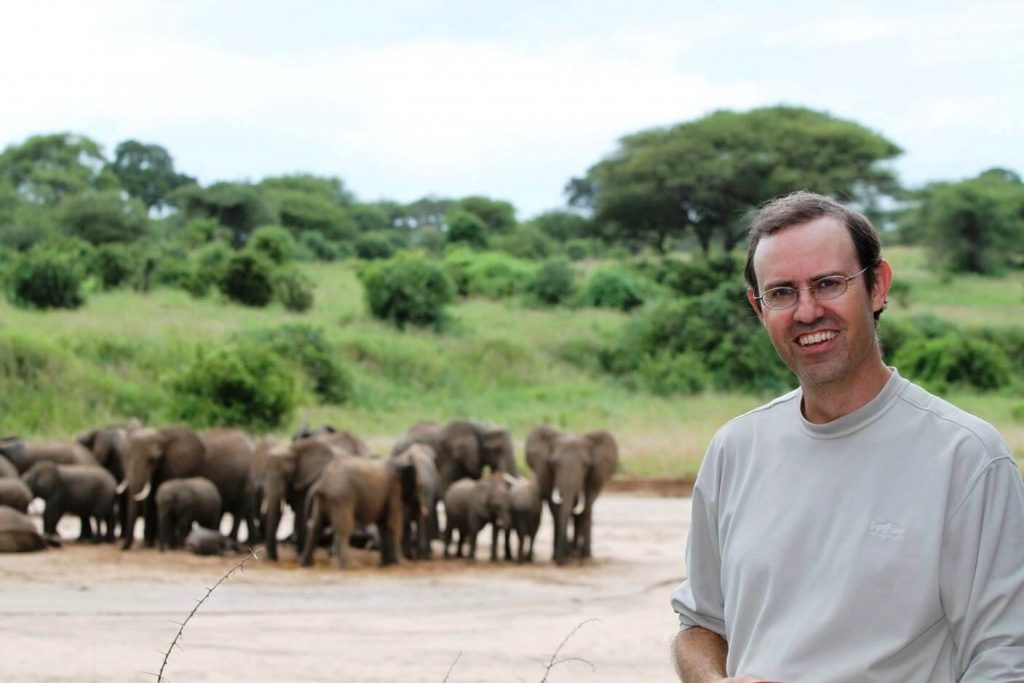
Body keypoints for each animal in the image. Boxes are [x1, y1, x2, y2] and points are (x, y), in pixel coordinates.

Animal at [525, 426, 619, 565]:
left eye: (585, 466)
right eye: (554, 464)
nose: (562, 560)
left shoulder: (595, 474)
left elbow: (587, 503)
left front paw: (583, 556)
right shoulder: (544, 472)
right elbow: (555, 508)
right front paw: (560, 556)